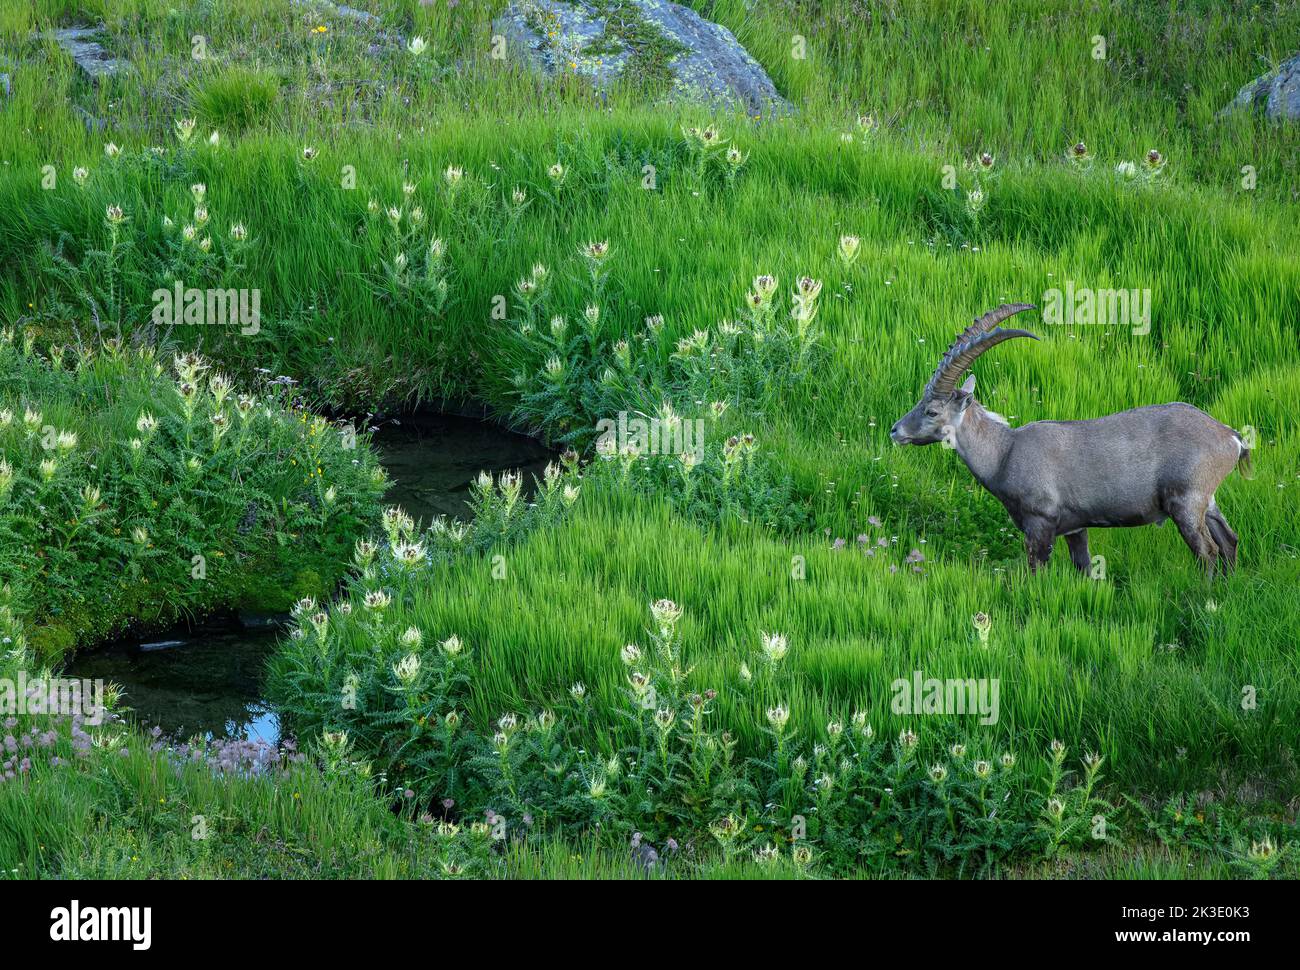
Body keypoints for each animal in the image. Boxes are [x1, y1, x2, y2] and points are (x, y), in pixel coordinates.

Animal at [890, 304, 1250, 574]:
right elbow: (1084, 568)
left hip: (1187, 504)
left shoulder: (1039, 525)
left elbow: (1036, 572)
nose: (896, 431)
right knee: (1229, 540)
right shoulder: (1076, 527)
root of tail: (1231, 438)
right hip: (1207, 502)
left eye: (932, 411)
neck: (1005, 452)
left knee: (1209, 552)